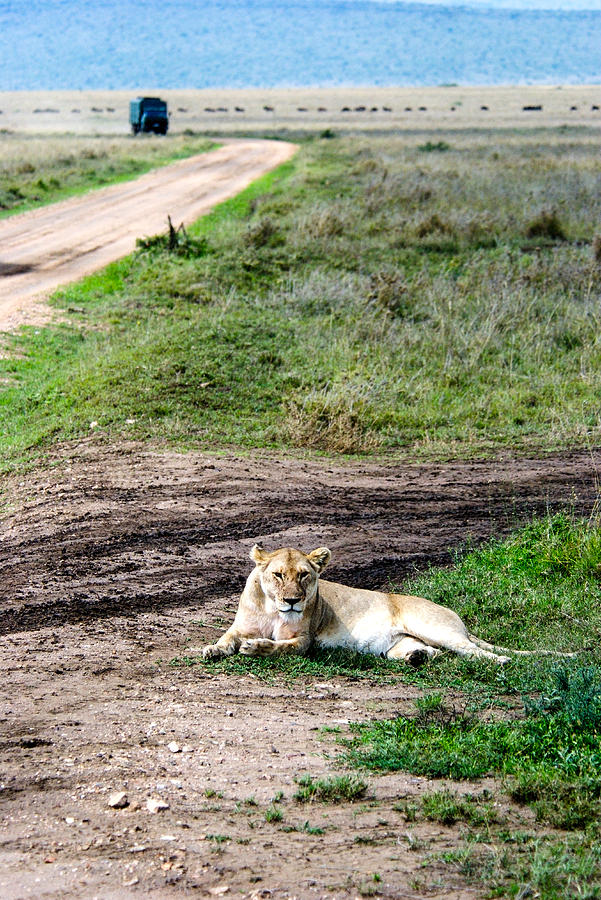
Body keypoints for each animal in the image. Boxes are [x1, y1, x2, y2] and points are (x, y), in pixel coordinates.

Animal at [199, 544, 575, 666]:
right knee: (435, 652)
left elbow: (279, 648)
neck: (270, 610)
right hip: (399, 645)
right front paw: (212, 650)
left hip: (434, 627)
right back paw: (417, 657)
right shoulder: (239, 626)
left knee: (475, 651)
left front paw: (255, 648)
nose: (292, 600)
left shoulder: (304, 641)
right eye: (278, 575)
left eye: (304, 576)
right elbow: (225, 638)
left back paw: (498, 661)